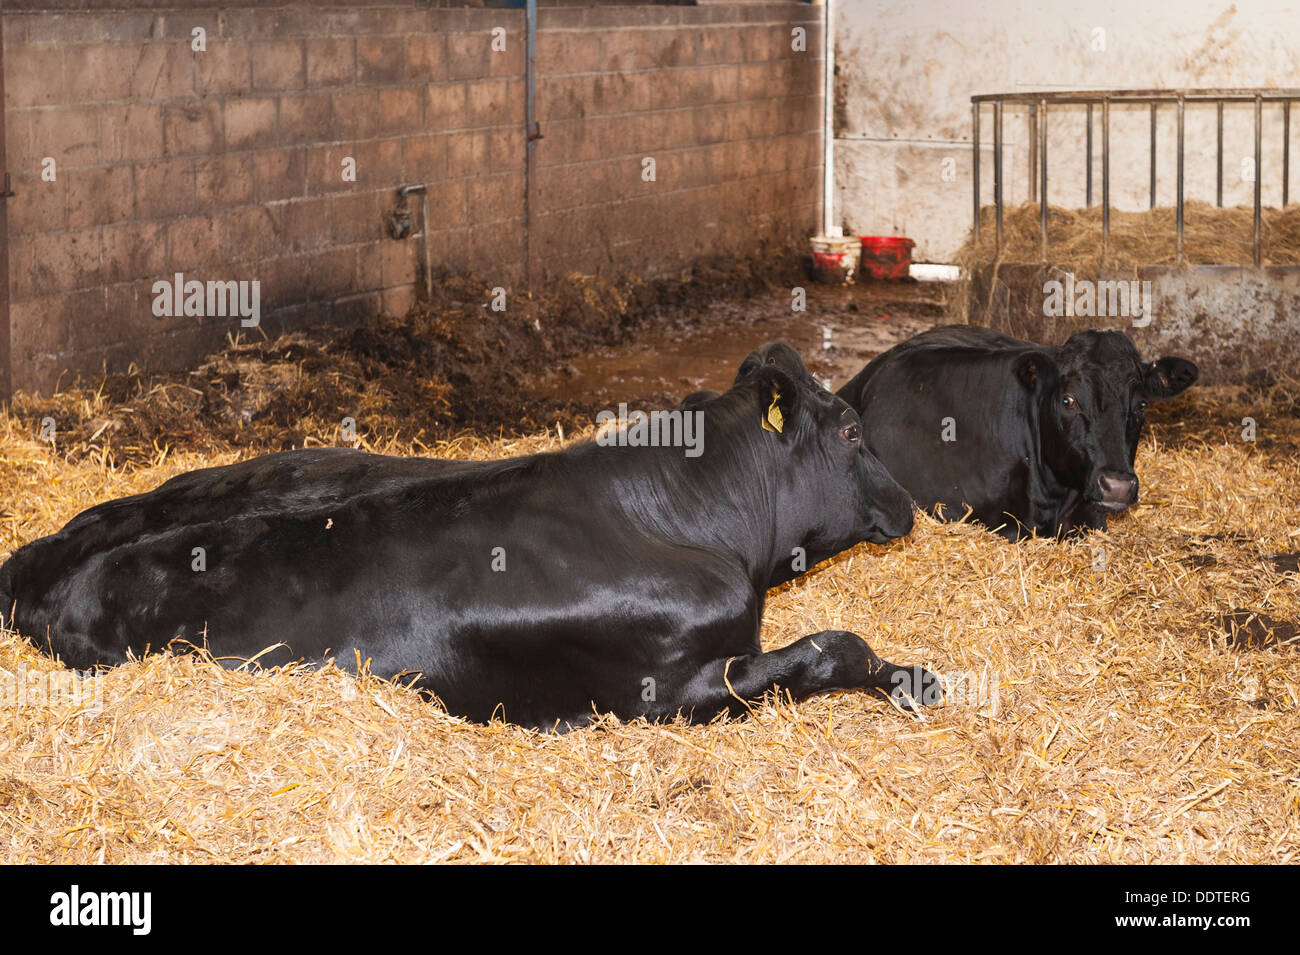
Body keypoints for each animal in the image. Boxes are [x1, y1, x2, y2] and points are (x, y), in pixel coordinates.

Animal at [1, 347, 933, 730]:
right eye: (852, 432)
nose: (910, 503)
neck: (688, 513)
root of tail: (45, 556)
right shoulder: (666, 685)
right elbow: (832, 648)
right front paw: (904, 677)